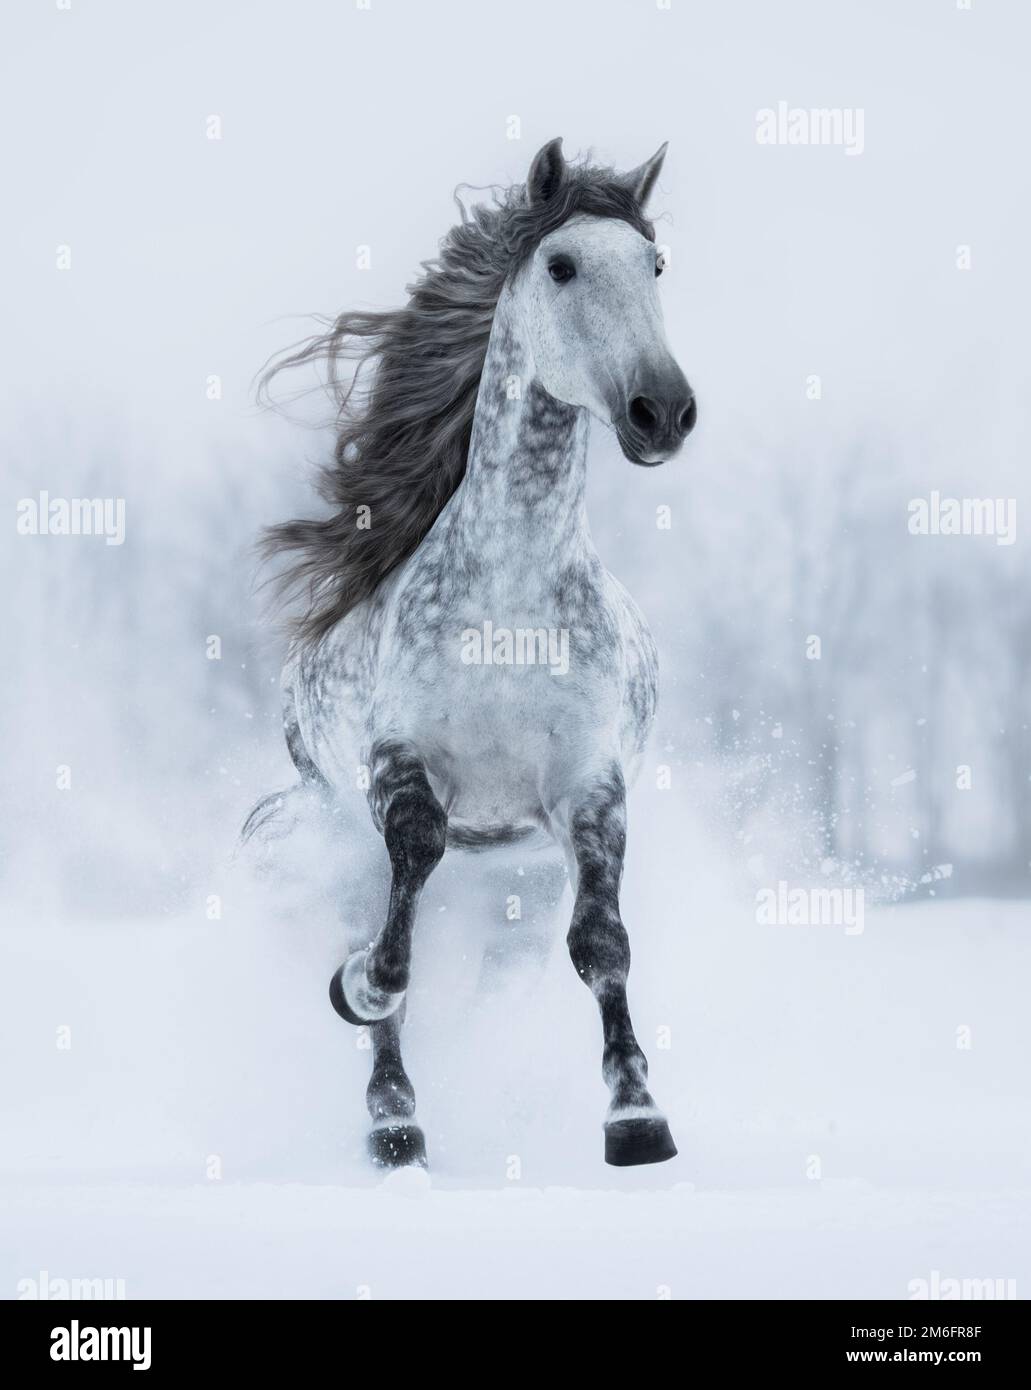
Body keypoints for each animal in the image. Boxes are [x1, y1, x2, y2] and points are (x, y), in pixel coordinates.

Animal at [247, 137, 696, 1169]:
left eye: (655, 265)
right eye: (560, 265)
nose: (661, 410)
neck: (510, 603)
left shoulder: (588, 787)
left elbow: (602, 943)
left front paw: (636, 1116)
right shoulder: (400, 766)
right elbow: (398, 919)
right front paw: (355, 991)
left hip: (515, 889)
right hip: (342, 840)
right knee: (382, 929)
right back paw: (394, 1122)